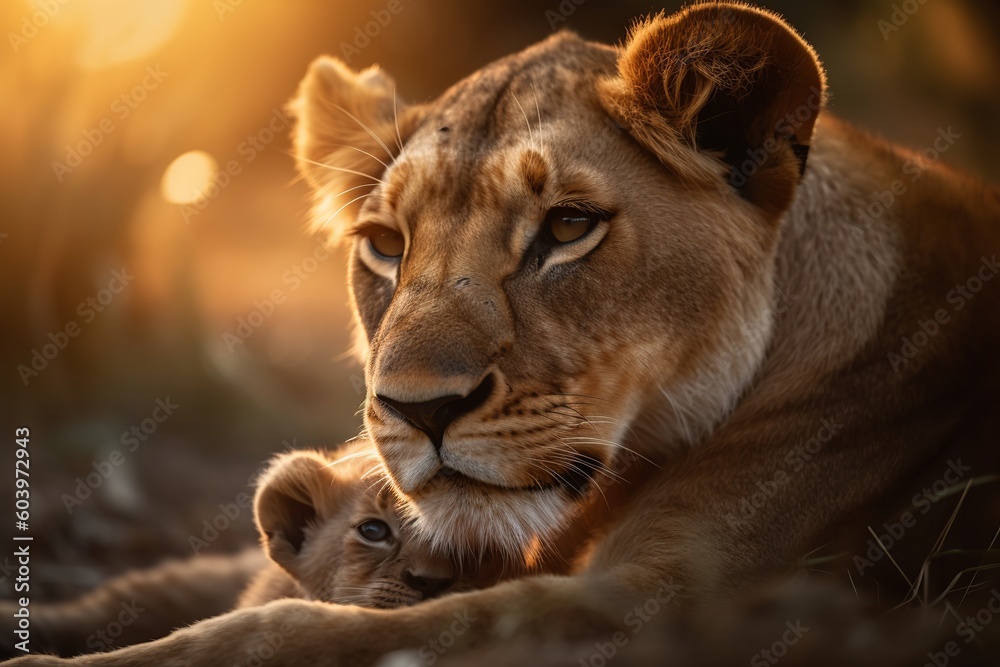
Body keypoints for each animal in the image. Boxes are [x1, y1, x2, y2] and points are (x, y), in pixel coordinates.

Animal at [7, 2, 999, 665]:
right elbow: (166, 580)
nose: (420, 408)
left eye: (568, 227)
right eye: (385, 244)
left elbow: (295, 627)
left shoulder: (663, 602)